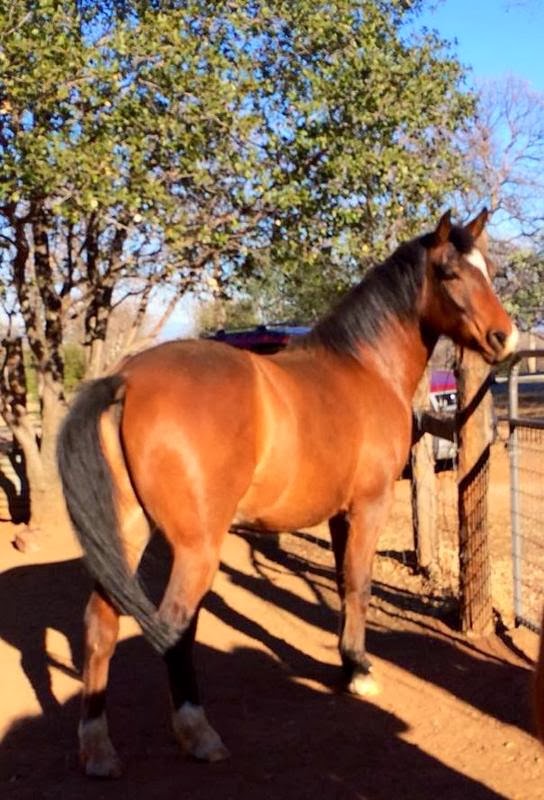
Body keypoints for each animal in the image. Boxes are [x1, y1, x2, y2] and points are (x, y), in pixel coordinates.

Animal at [57, 208, 518, 777]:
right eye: (450, 273)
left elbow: (344, 585)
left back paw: (98, 748)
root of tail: (125, 380)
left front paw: (348, 663)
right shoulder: (369, 506)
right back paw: (199, 733)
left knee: (100, 627)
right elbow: (360, 584)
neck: (367, 367)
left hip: (128, 531)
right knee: (174, 628)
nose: (505, 338)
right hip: (196, 548)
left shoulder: (340, 514)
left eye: (489, 271)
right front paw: (360, 671)